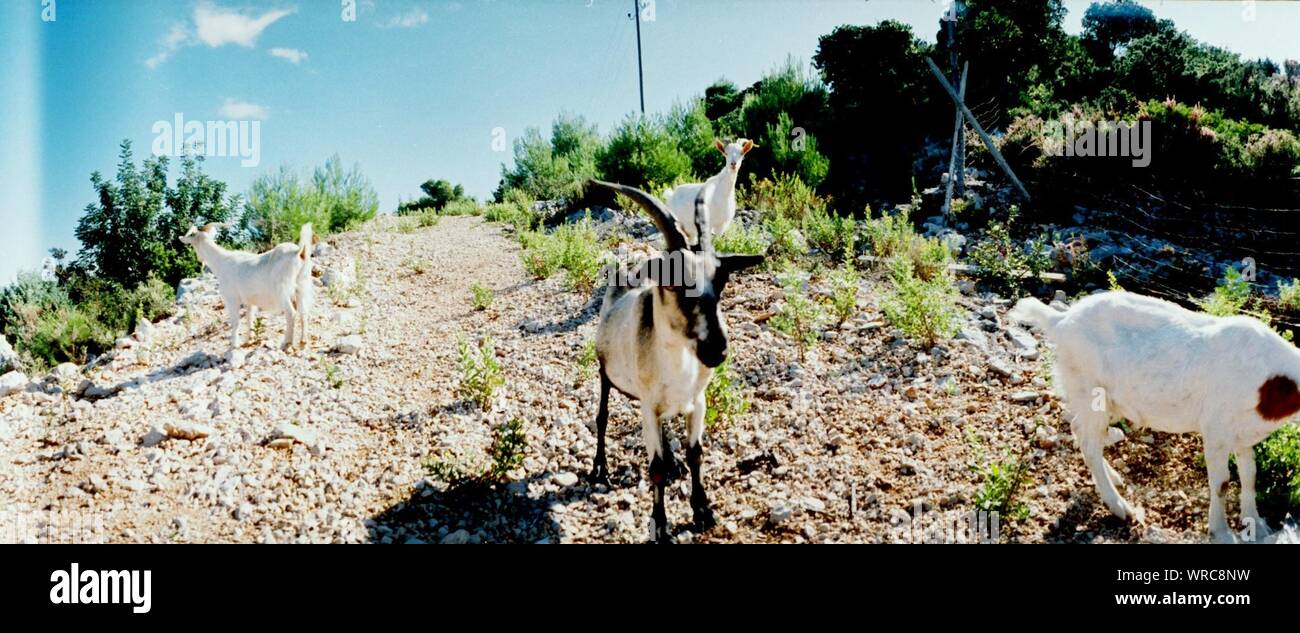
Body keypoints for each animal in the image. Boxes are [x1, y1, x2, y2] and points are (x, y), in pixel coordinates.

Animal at [180, 223, 314, 352]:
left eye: (192, 239)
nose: (199, 260)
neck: (221, 262)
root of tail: (299, 252)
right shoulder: (250, 301)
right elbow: (250, 318)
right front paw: (249, 340)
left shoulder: (231, 298)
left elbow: (235, 321)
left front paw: (234, 345)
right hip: (302, 286)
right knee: (304, 312)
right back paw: (303, 342)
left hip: (282, 291)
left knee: (291, 313)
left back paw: (286, 343)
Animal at [589, 179, 764, 543]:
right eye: (672, 281)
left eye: (722, 280)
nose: (716, 350)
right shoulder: (648, 406)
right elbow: (653, 468)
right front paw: (660, 525)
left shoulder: (696, 402)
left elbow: (696, 453)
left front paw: (703, 510)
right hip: (605, 373)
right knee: (602, 417)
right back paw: (600, 468)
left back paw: (672, 462)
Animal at [1010, 290, 1300, 542]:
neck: (1273, 383)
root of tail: (1059, 321)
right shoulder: (1216, 429)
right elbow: (1222, 483)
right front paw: (1221, 532)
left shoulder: (1244, 434)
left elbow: (1250, 475)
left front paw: (1256, 524)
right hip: (1091, 390)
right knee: (1090, 442)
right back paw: (1119, 506)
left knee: (1080, 429)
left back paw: (1114, 478)